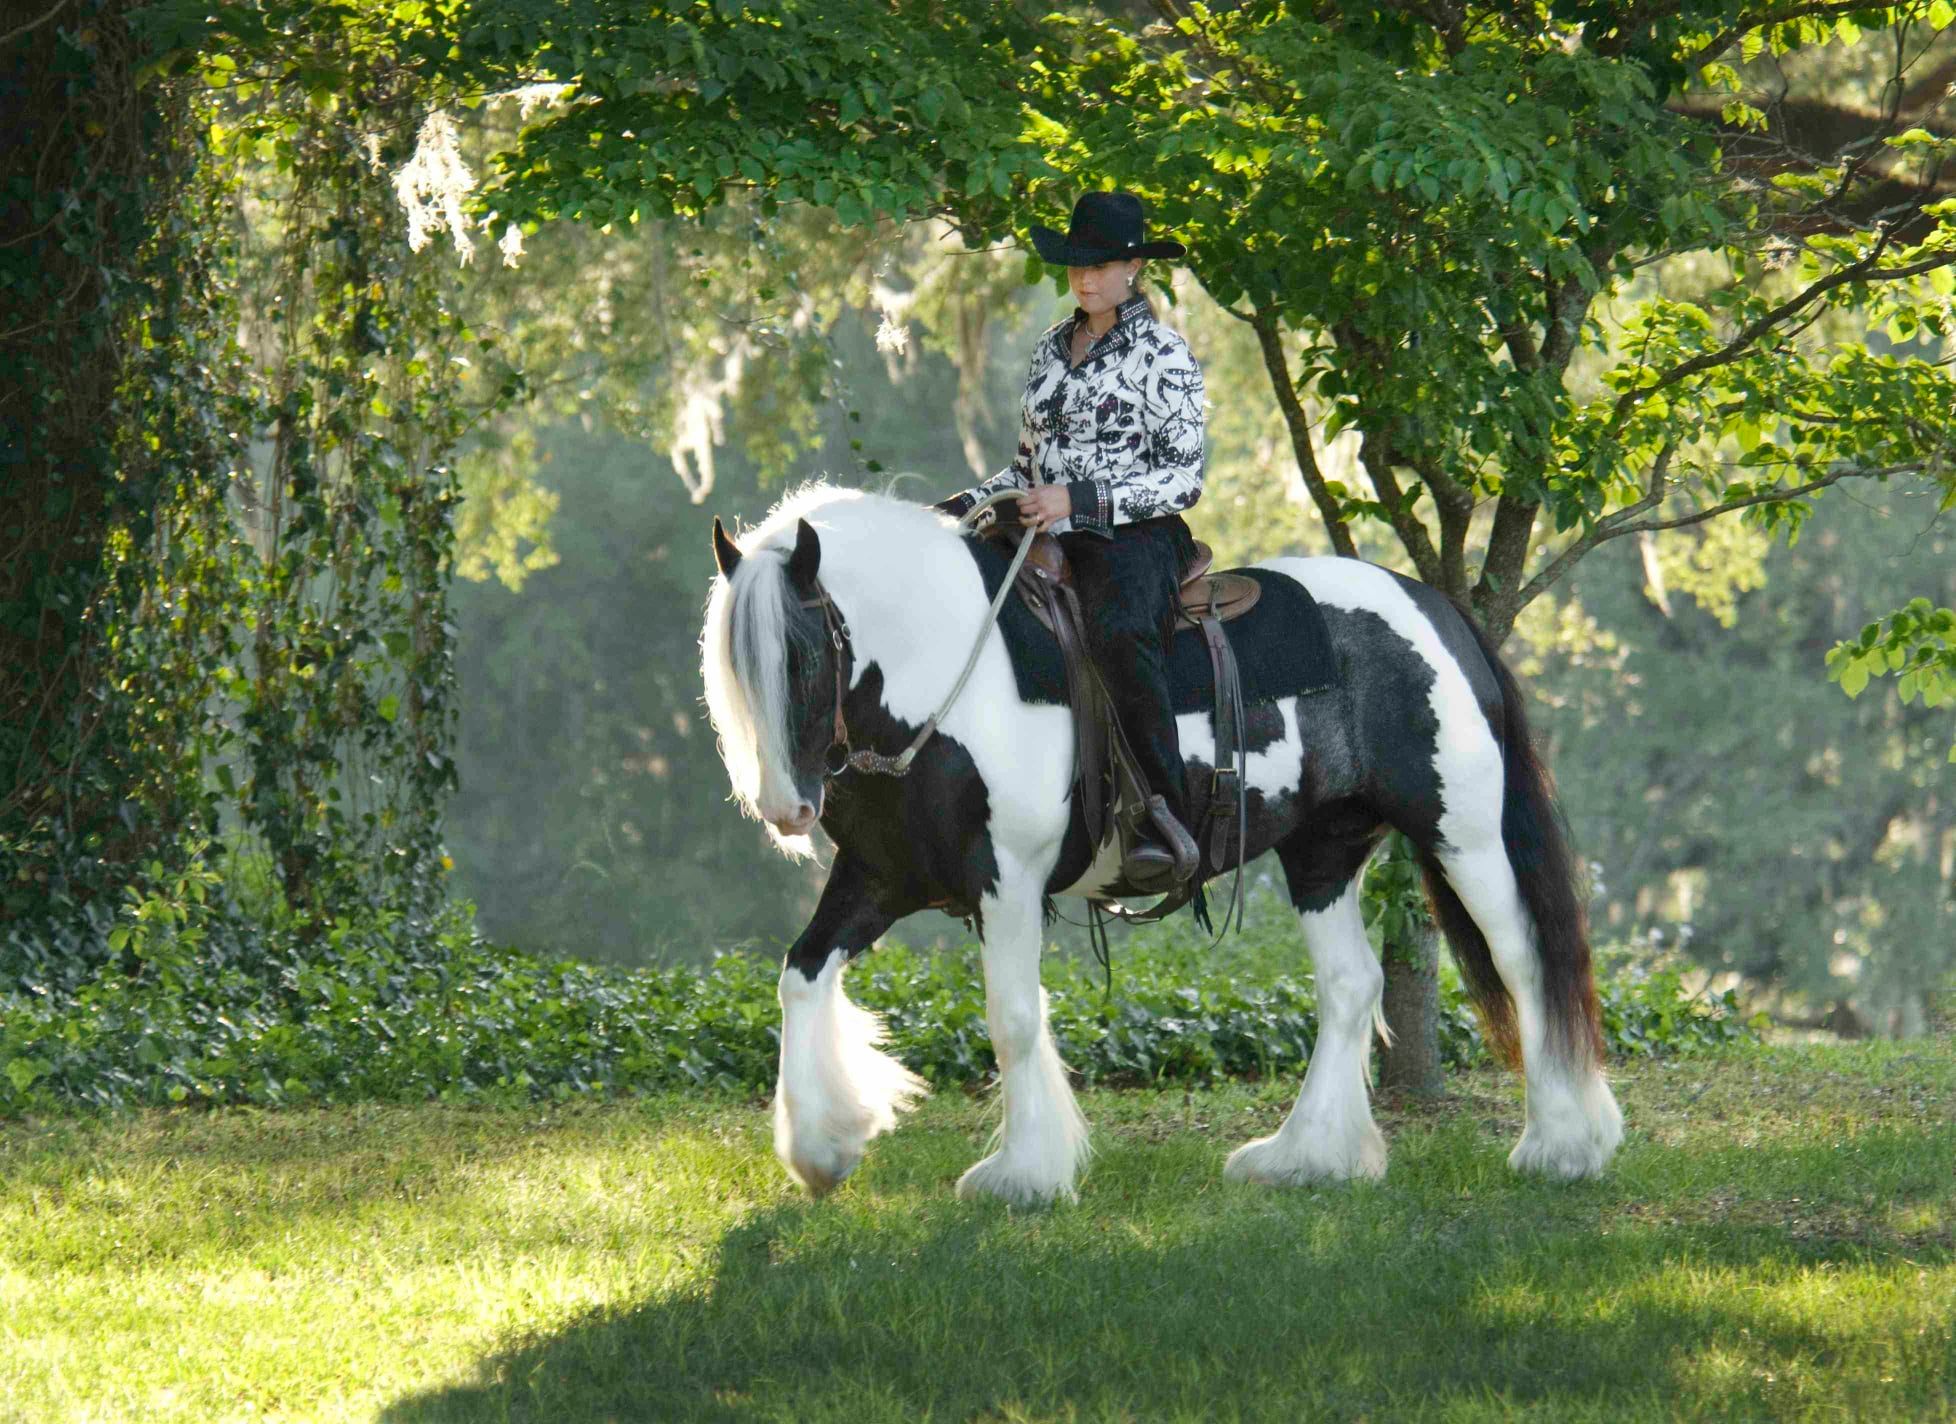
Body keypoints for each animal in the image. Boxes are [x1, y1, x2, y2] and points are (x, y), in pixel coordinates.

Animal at [700, 482, 1623, 1206]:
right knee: (1352, 985)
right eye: (738, 669)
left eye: (805, 656)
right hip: (1321, 851)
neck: (952, 675)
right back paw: (1307, 1158)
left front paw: (1023, 1176)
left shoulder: (1008, 879)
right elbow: (800, 974)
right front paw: (822, 1150)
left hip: (1460, 831)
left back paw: (1562, 1148)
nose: (785, 808)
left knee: (1526, 961)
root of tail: (1436, 610)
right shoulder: (878, 876)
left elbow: (1014, 1018)